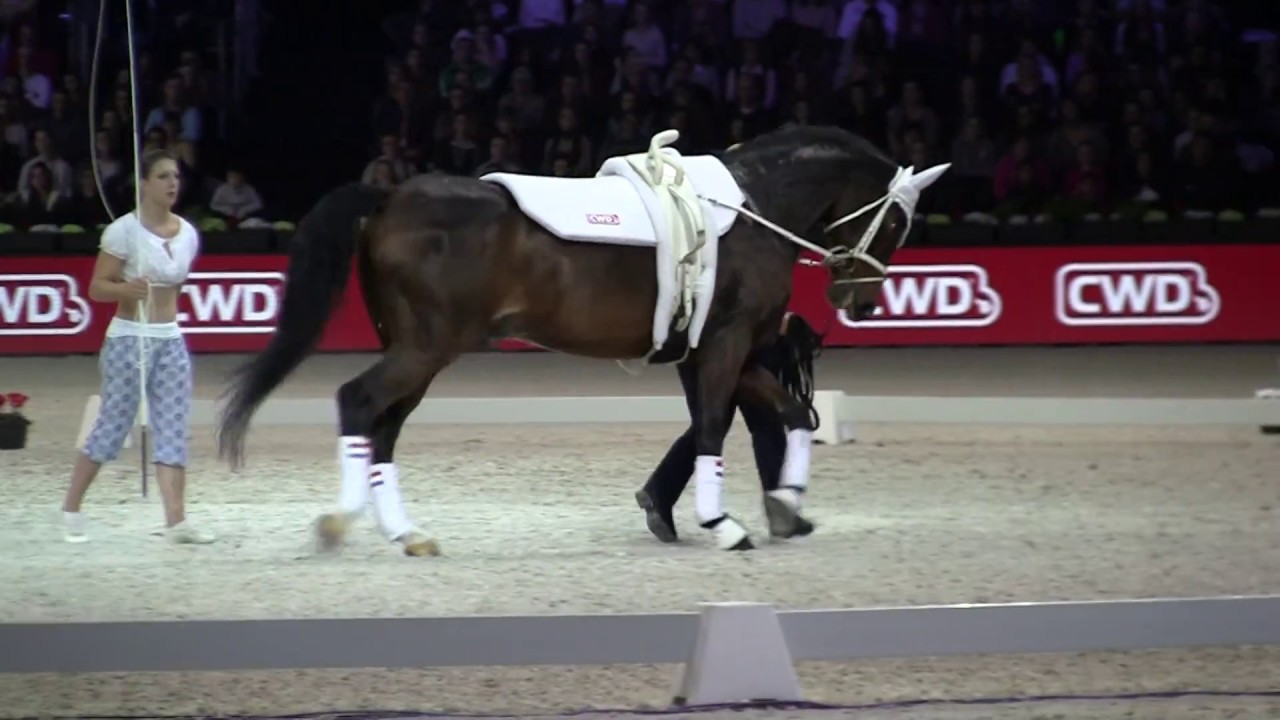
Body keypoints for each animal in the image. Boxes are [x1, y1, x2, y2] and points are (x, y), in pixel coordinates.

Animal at [215, 124, 949, 555]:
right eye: (898, 224)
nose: (862, 299)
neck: (753, 207)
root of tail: (392, 196)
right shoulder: (726, 343)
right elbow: (714, 426)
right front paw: (724, 524)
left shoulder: (720, 349)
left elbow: (789, 413)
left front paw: (787, 502)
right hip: (424, 348)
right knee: (358, 403)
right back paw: (343, 522)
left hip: (416, 352)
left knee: (385, 424)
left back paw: (405, 532)